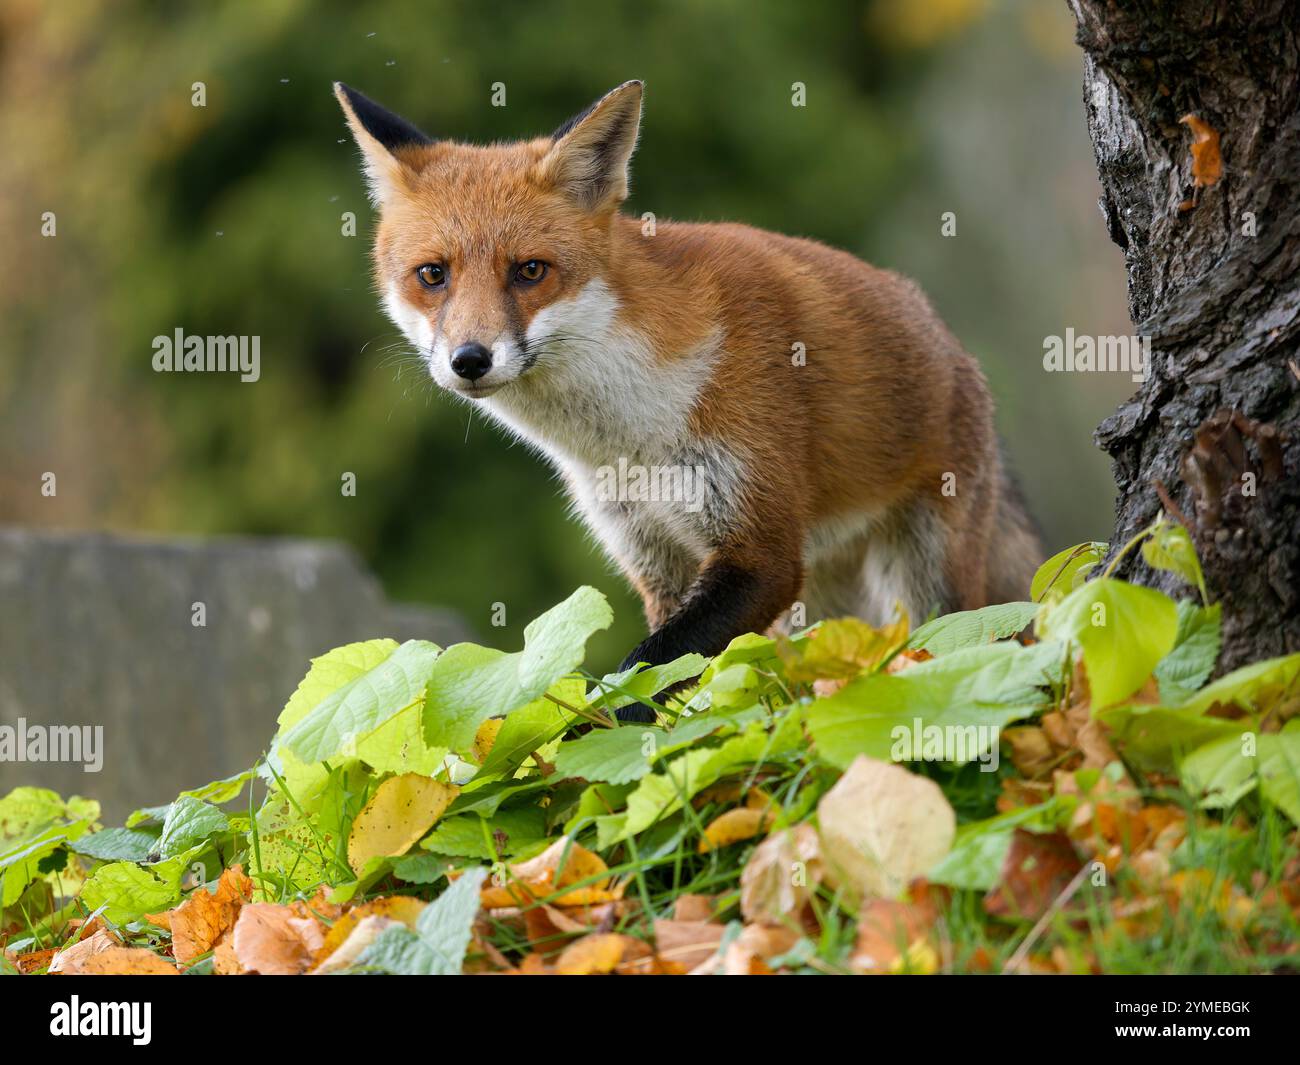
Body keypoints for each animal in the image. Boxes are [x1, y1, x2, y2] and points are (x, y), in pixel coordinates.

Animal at [335, 80, 1042, 721]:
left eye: (530, 270)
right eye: (433, 275)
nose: (469, 360)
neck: (629, 435)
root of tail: (956, 350)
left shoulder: (762, 551)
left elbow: (638, 681)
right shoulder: (654, 556)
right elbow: (664, 676)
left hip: (924, 579)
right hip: (827, 601)